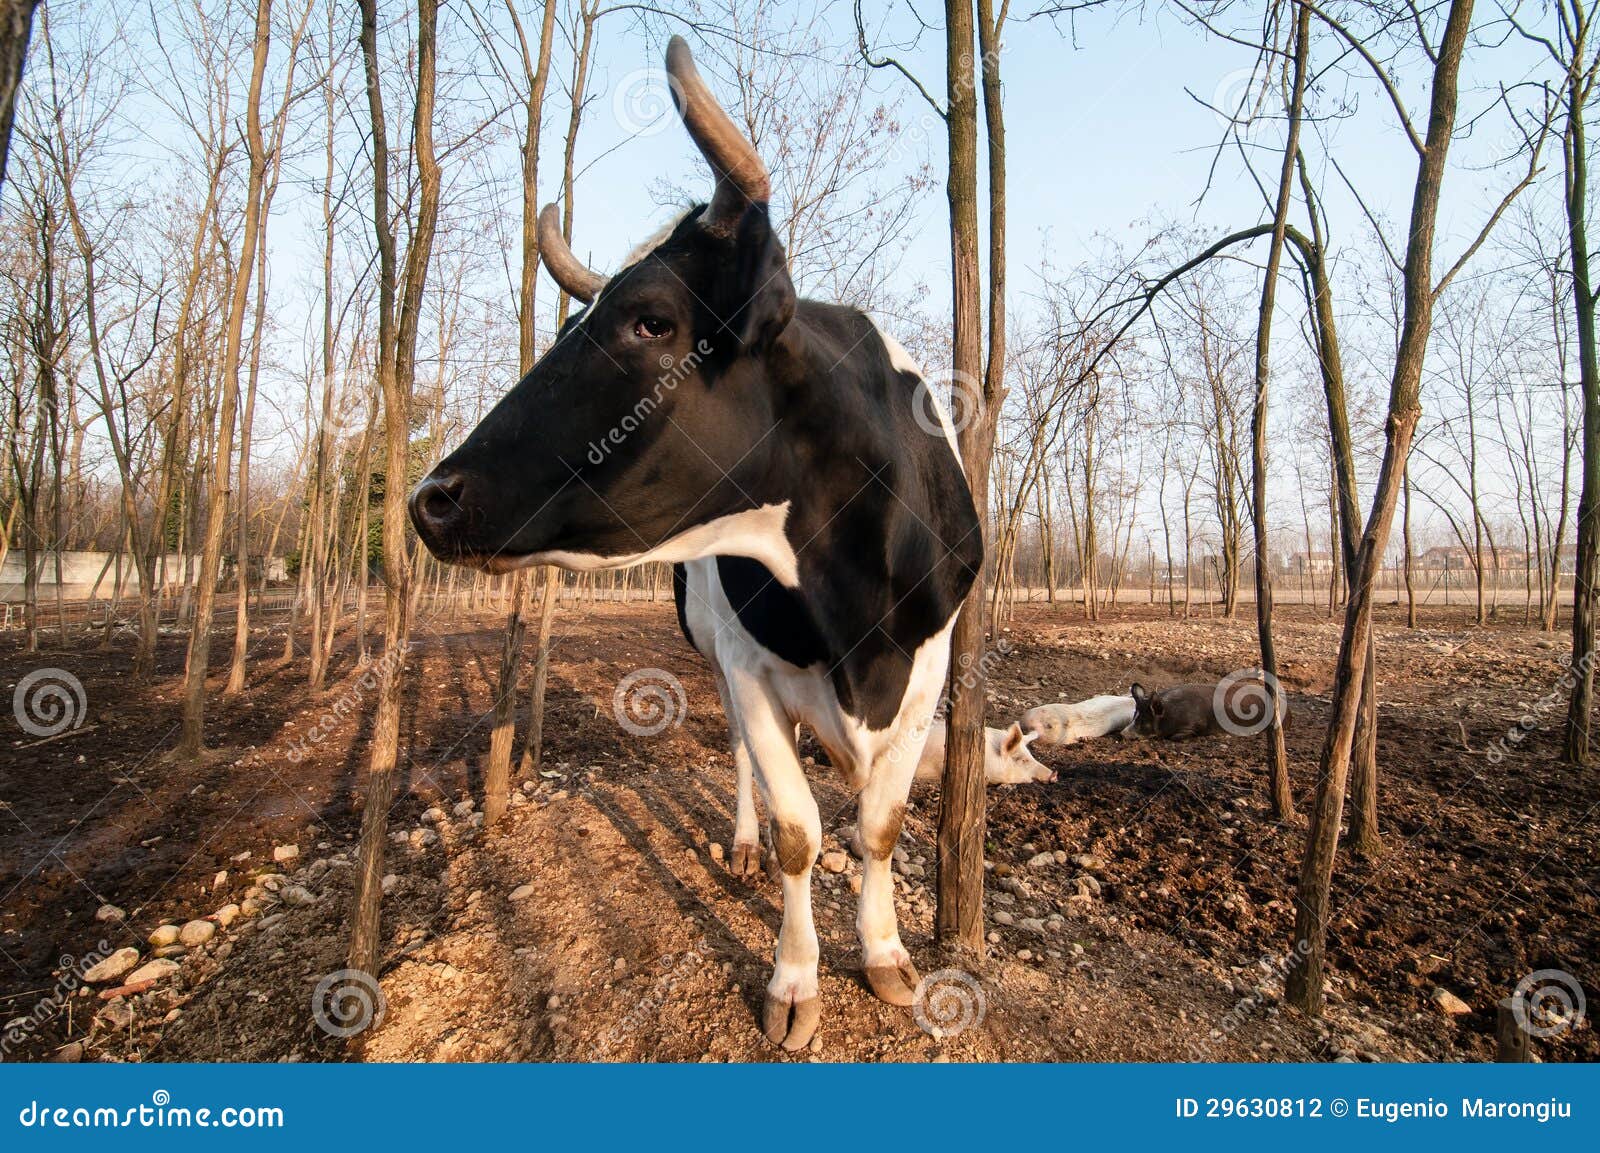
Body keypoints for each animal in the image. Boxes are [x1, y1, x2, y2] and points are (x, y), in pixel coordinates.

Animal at [408, 37, 980, 1051]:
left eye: (651, 320)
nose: (431, 498)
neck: (852, 602)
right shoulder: (749, 666)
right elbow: (800, 829)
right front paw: (794, 980)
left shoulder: (931, 665)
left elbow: (878, 825)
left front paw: (882, 954)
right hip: (715, 652)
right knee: (751, 767)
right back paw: (744, 843)